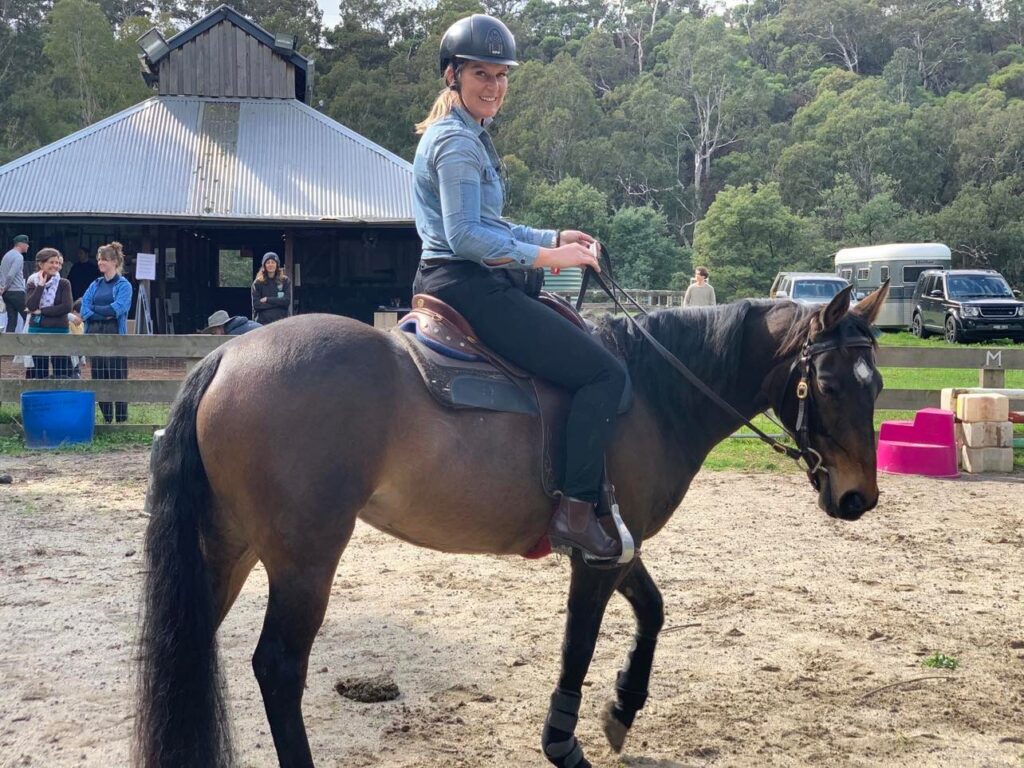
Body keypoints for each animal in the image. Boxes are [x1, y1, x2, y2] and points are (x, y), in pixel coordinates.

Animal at [135, 283, 889, 768]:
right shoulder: (597, 556)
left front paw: (623, 709)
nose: (859, 498)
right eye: (826, 383)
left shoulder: (622, 546)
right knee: (279, 668)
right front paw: (564, 740)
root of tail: (226, 357)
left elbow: (653, 612)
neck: (652, 391)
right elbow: (578, 646)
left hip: (228, 549)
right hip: (304, 560)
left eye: (876, 384)